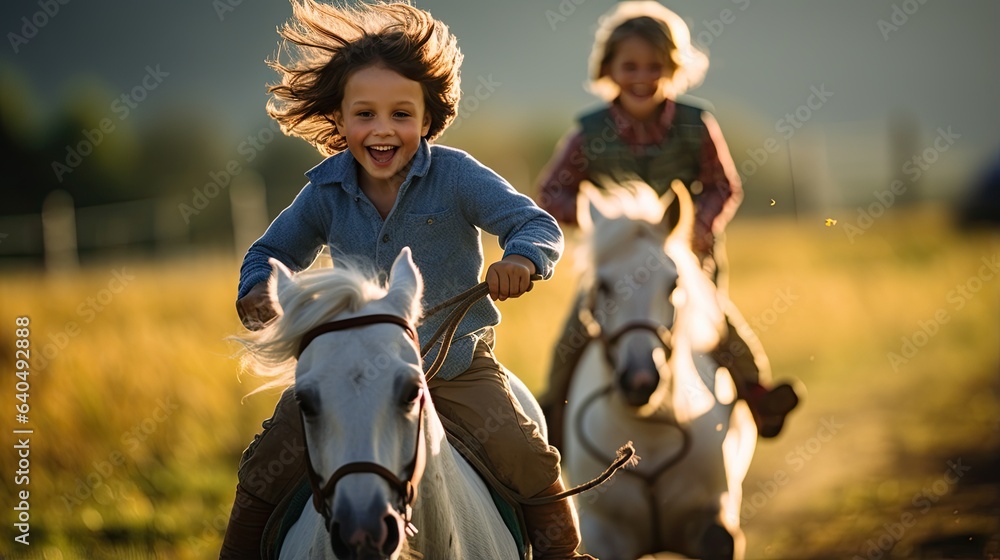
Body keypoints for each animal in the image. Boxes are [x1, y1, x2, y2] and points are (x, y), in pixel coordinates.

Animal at [560, 180, 758, 560]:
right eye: (603, 285)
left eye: (674, 284)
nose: (640, 380)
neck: (649, 431)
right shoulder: (604, 535)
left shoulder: (716, 525)